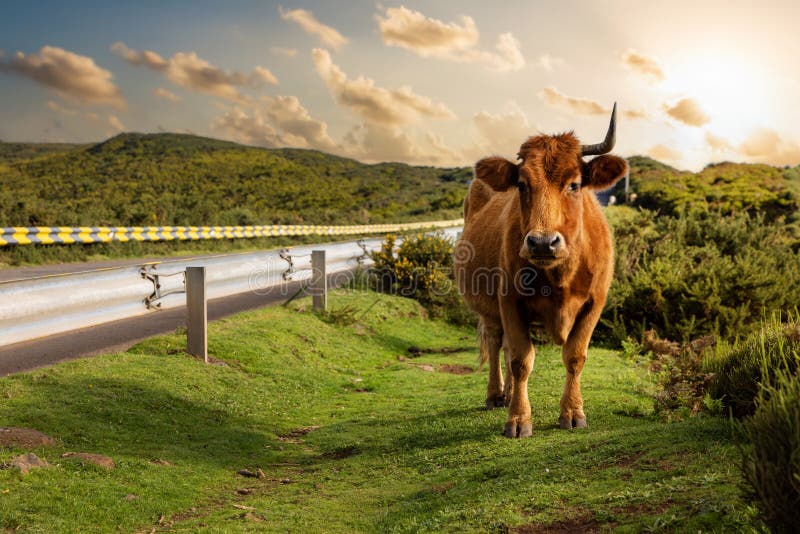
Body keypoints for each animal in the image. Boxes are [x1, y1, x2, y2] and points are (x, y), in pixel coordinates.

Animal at [455, 105, 627, 438]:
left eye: (574, 184)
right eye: (522, 184)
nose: (543, 242)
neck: (559, 278)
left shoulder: (594, 303)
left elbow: (575, 356)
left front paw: (572, 412)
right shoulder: (509, 301)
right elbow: (522, 360)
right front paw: (518, 419)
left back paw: (509, 392)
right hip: (488, 309)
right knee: (496, 343)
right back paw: (496, 395)